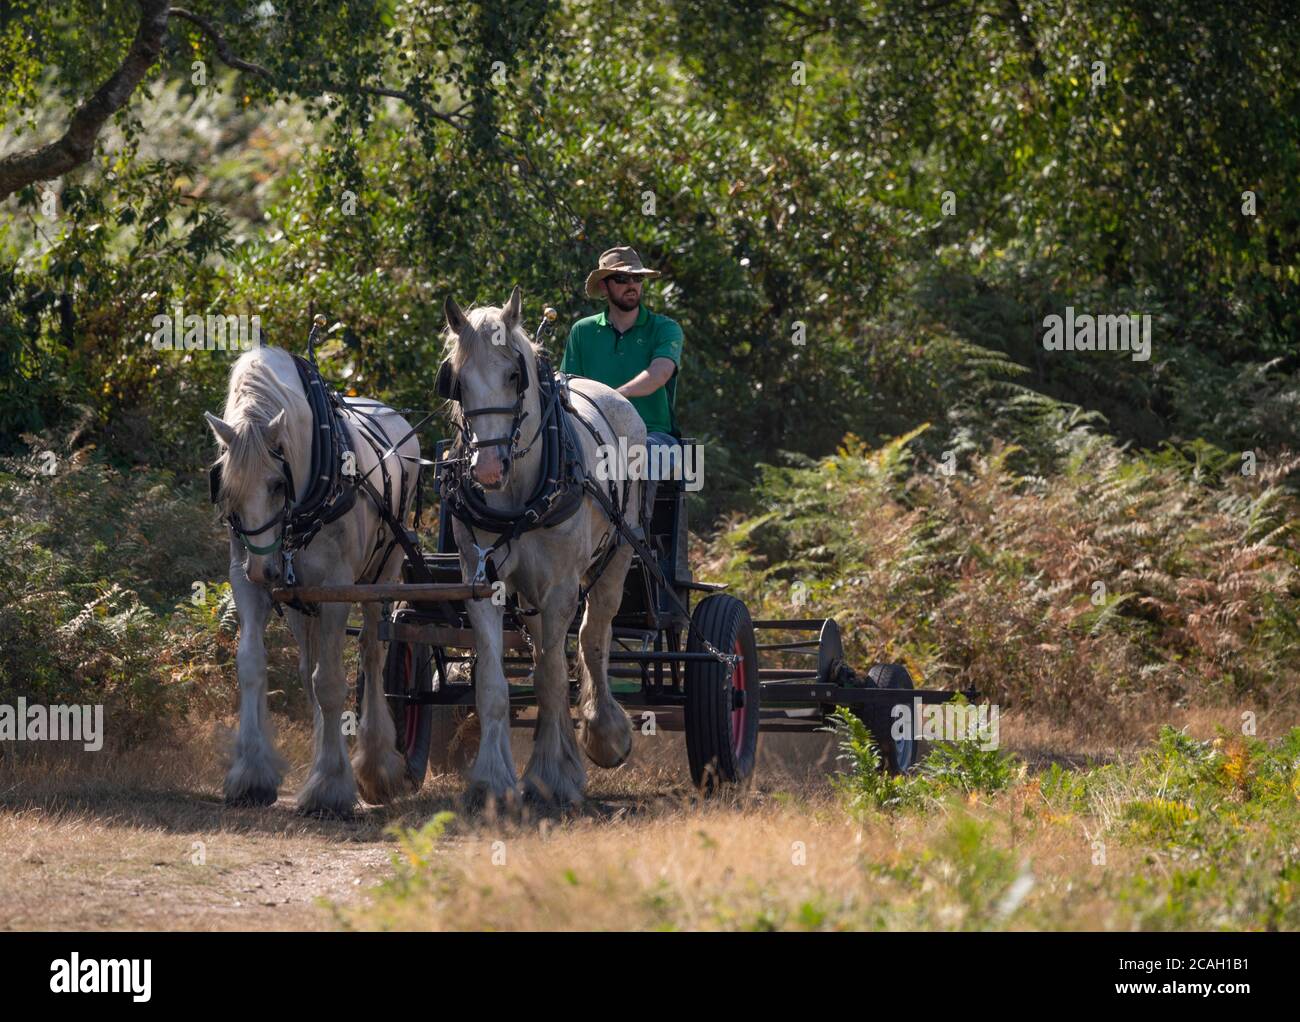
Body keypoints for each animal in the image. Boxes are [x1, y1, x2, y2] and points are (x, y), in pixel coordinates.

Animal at [204, 345, 419, 815]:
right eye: (226, 489)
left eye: (276, 484)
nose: (264, 570)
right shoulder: (247, 583)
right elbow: (254, 665)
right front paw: (251, 775)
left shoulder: (336, 588)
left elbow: (333, 682)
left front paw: (331, 787)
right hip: (301, 602)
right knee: (310, 668)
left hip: (381, 574)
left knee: (370, 652)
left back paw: (375, 768)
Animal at [442, 286, 643, 807]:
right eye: (458, 382)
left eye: (515, 375)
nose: (488, 469)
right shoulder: (481, 583)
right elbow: (494, 684)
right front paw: (491, 779)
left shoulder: (561, 590)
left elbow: (554, 679)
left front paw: (553, 775)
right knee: (546, 650)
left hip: (617, 557)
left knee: (593, 635)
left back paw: (604, 731)